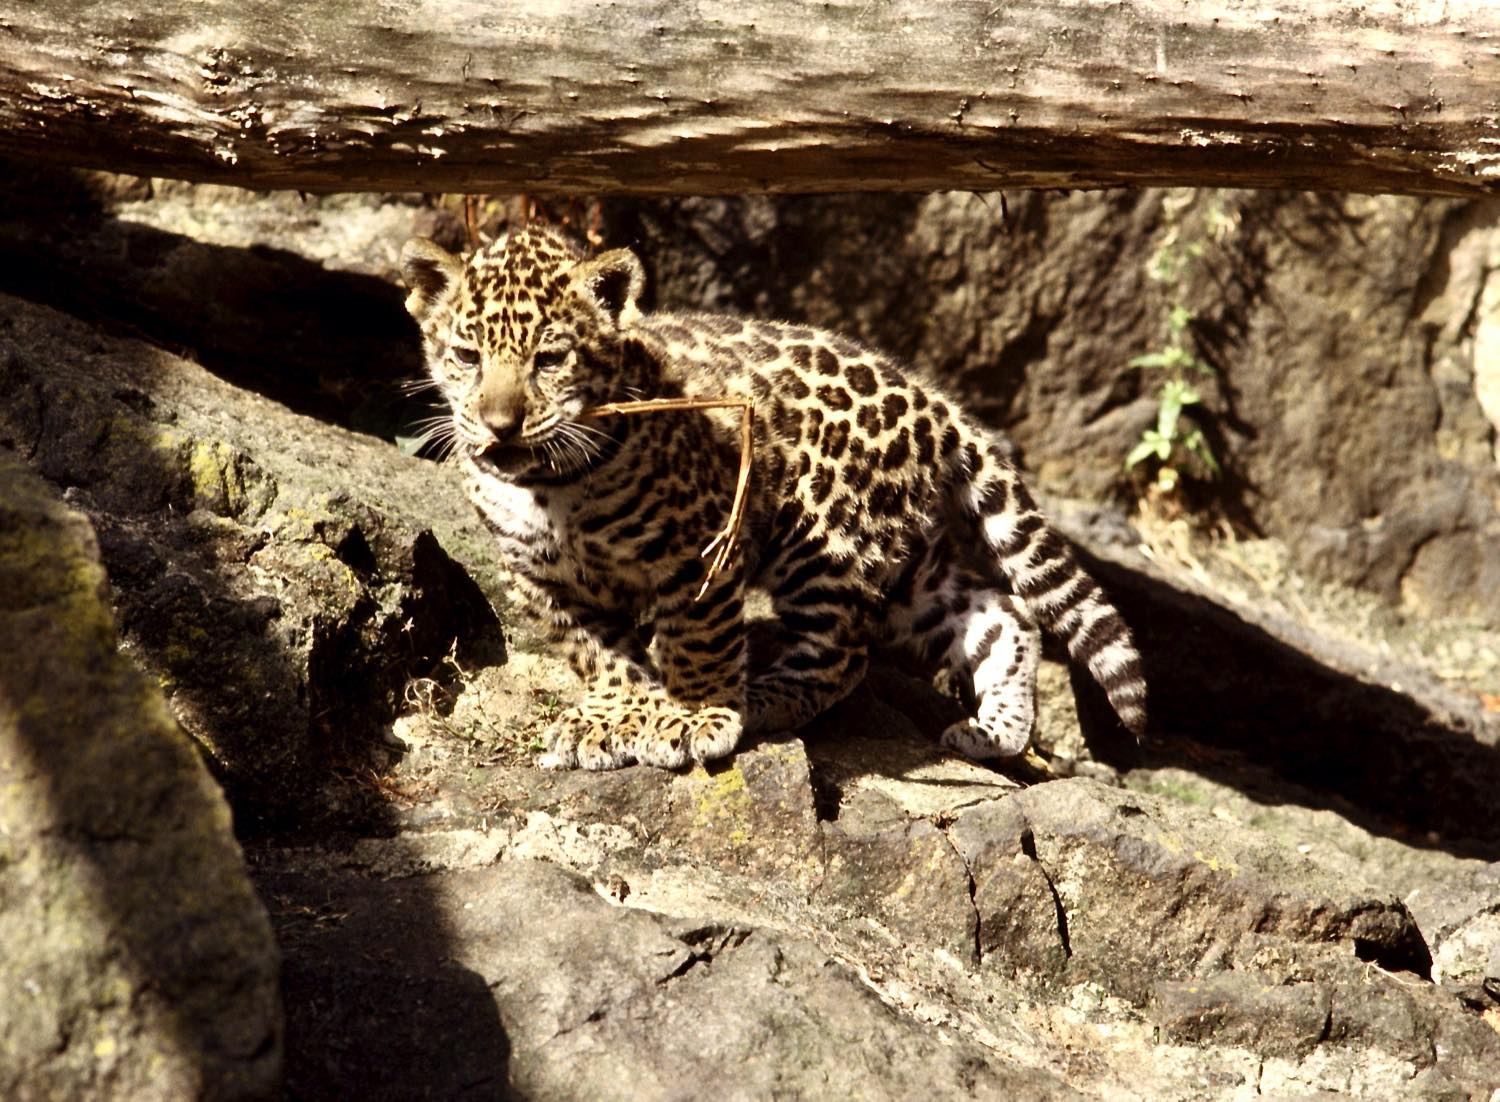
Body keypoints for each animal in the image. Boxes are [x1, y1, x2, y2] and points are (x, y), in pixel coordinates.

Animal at [399, 223, 1146, 772]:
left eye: (550, 361)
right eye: (466, 356)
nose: (499, 424)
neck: (548, 486)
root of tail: (935, 402)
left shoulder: (696, 549)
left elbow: (696, 639)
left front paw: (692, 715)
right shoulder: (537, 578)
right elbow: (598, 652)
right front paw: (614, 715)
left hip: (823, 537)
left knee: (843, 654)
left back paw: (760, 697)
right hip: (902, 562)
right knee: (1001, 613)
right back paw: (996, 731)